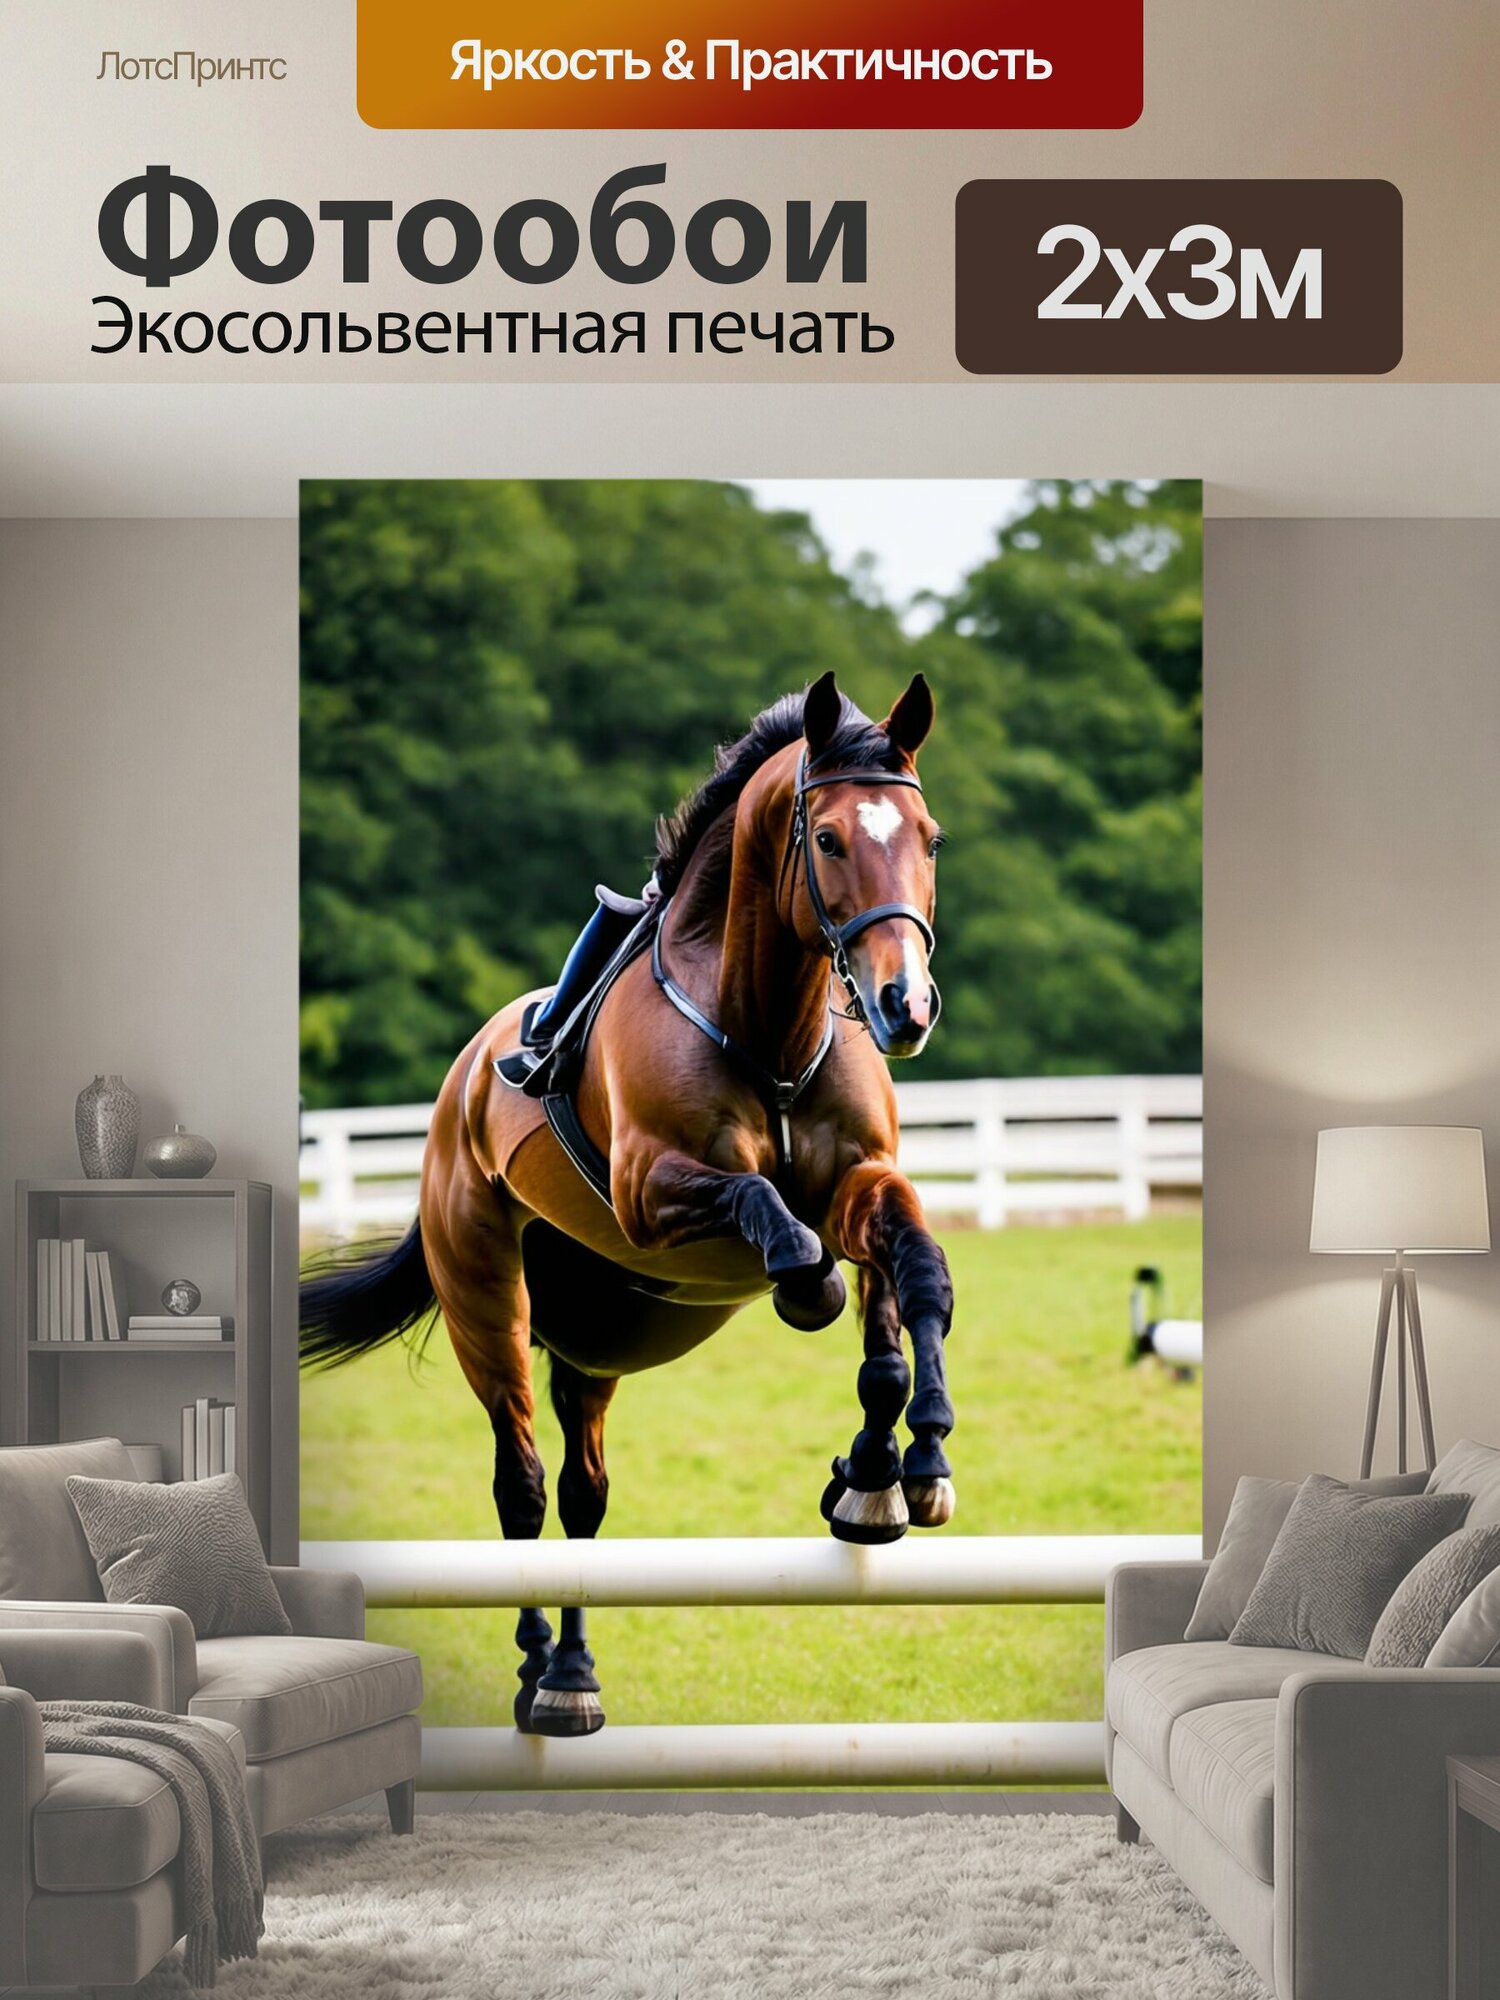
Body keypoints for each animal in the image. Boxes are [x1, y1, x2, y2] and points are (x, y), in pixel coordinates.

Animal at [300, 670, 956, 1738]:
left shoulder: (865, 1179)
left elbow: (912, 1279)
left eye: (928, 838)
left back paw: (570, 1672)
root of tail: (459, 1082)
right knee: (522, 1485)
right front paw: (817, 1311)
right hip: (487, 1297)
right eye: (827, 840)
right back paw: (541, 1672)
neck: (763, 1026)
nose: (907, 1007)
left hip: (598, 1339)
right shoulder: (654, 1195)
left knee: (583, 1497)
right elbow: (779, 1226)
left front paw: (899, 1470)